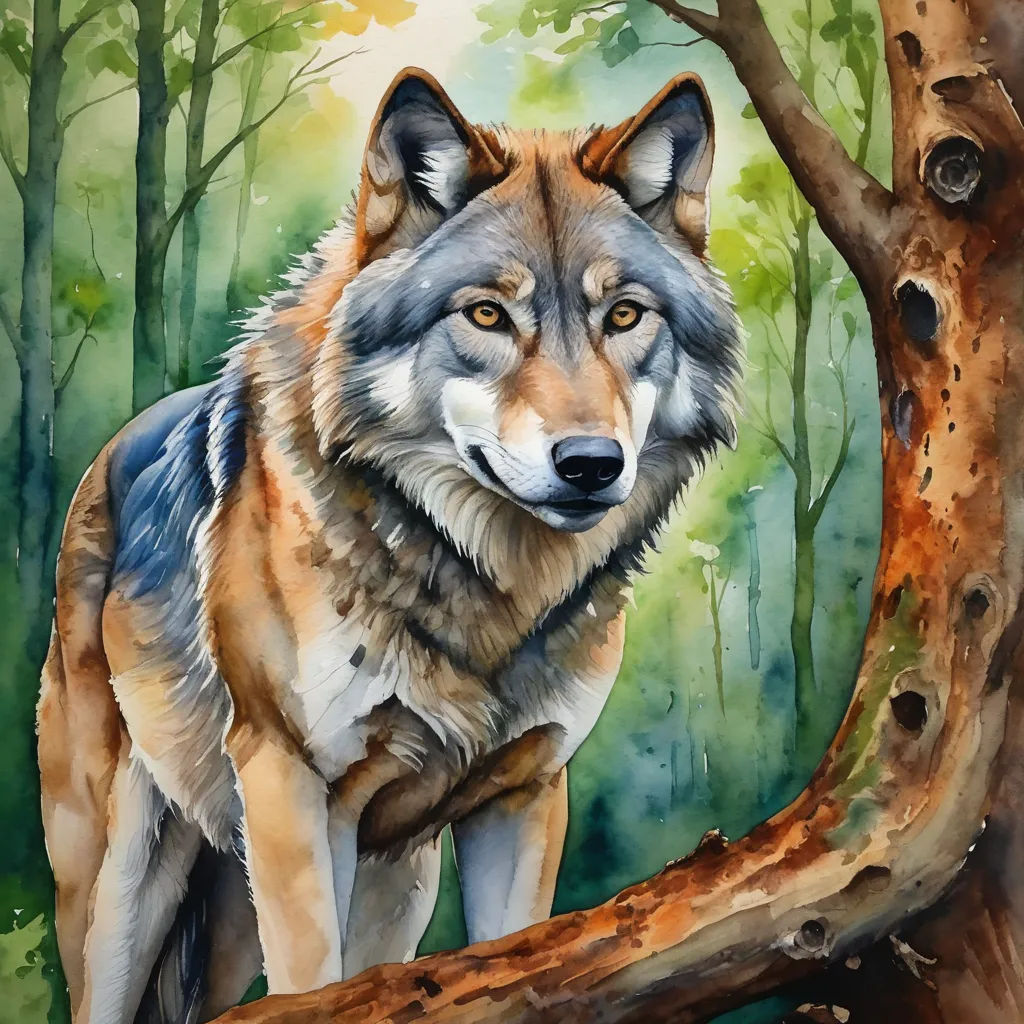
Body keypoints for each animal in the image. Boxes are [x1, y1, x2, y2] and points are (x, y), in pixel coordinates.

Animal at [37, 67, 740, 1023]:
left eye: (626, 315)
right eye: (487, 314)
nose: (592, 464)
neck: (479, 588)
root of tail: (111, 452)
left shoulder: (523, 795)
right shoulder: (296, 789)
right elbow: (313, 983)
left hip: (365, 889)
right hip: (121, 890)